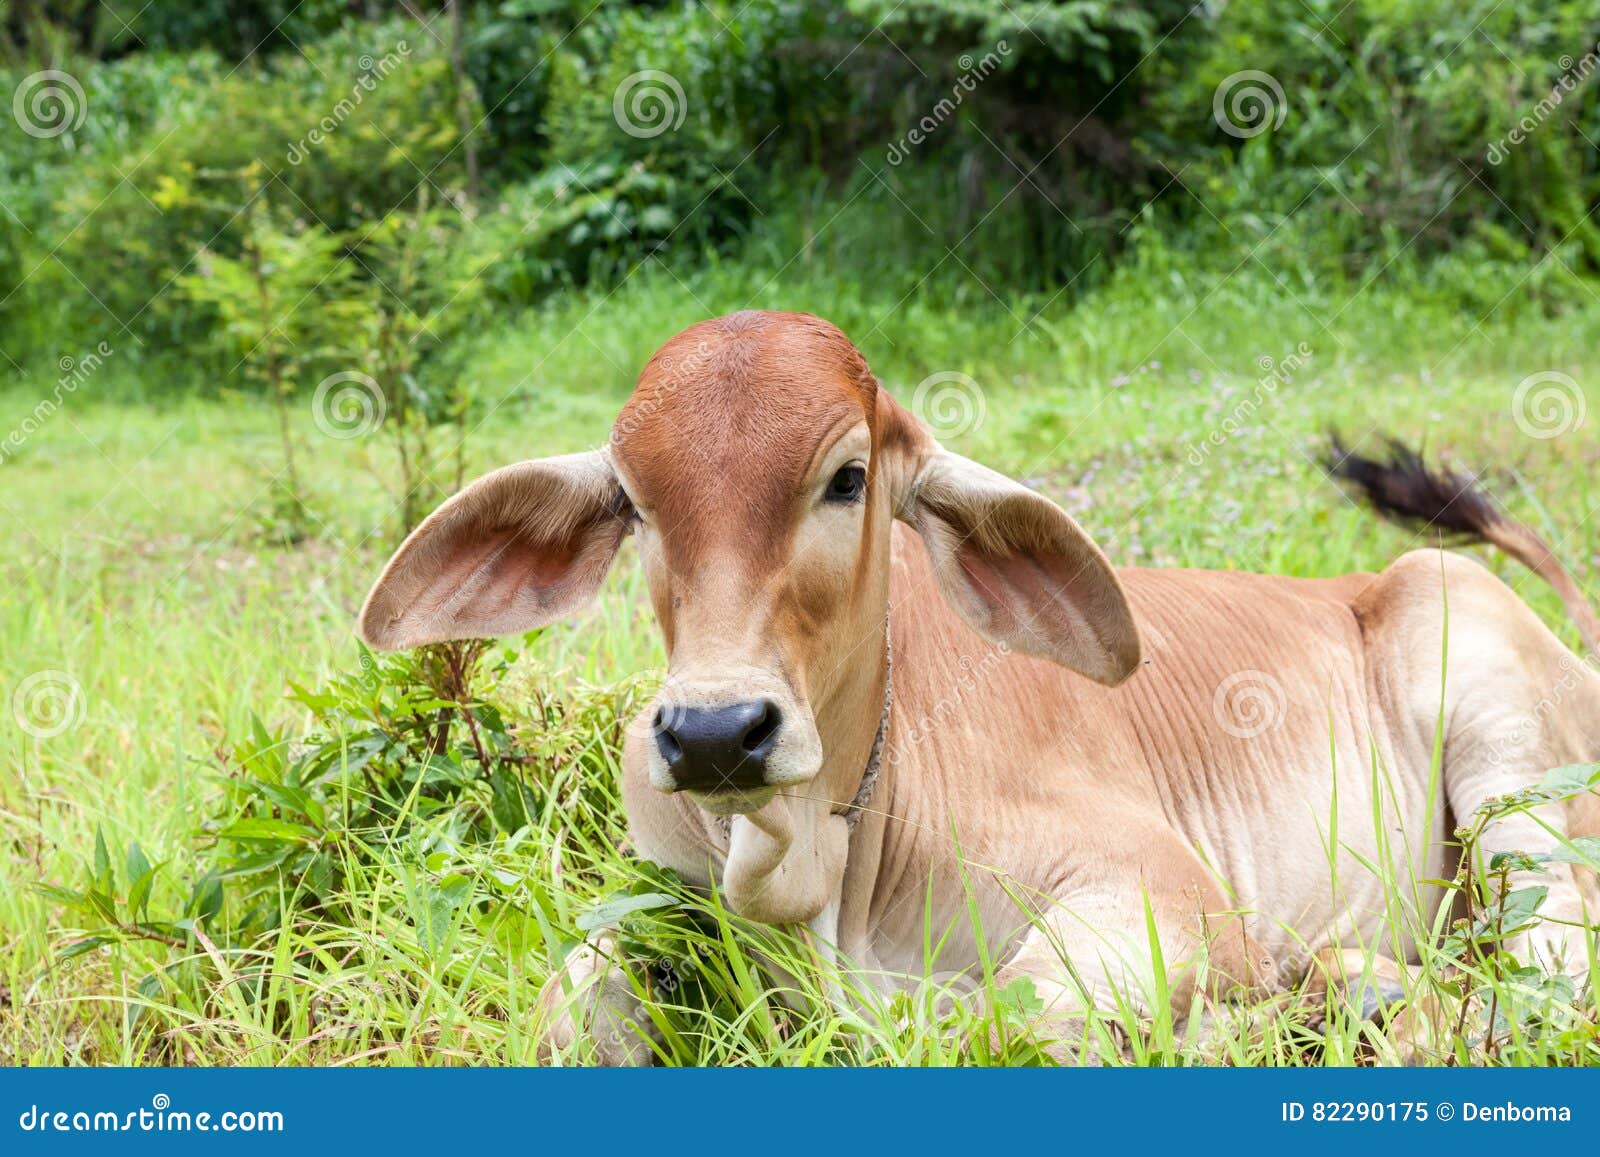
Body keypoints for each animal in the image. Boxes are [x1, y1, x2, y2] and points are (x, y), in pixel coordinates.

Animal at [357, 310, 1600, 1063]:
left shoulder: (1162, 889)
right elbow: (572, 1002)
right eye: (633, 500)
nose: (715, 731)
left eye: (847, 477)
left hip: (1491, 712)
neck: (826, 858)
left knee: (1547, 968)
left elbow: (1004, 1019)